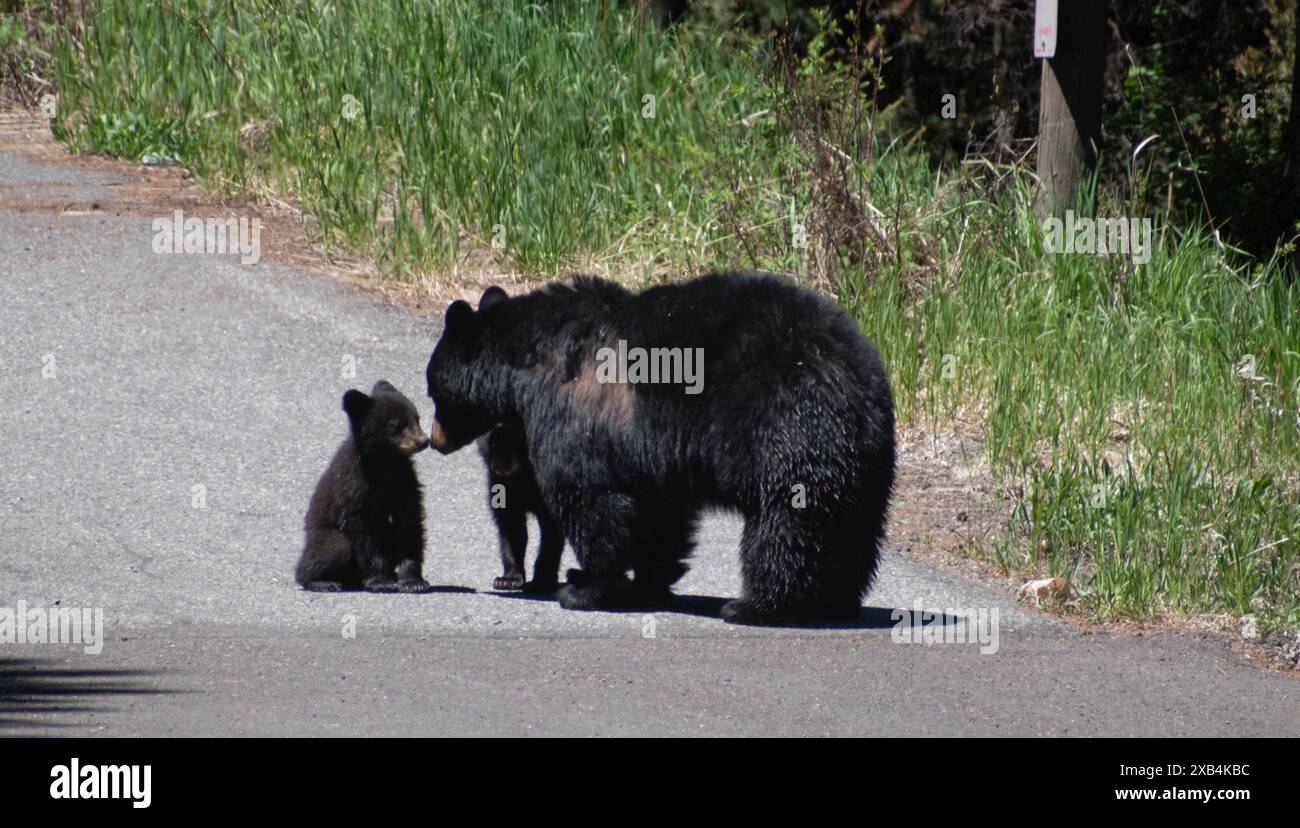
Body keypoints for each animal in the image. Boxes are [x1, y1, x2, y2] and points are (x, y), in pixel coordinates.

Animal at [295, 380, 434, 593]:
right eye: (396, 425)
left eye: (416, 419)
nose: (424, 441)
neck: (385, 461)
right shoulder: (354, 484)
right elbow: (362, 532)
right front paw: (381, 581)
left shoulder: (404, 479)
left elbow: (409, 522)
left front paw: (414, 581)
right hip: (326, 537)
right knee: (334, 547)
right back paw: (322, 581)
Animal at [478, 426, 565, 592]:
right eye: (493, 442)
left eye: (518, 442)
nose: (501, 465)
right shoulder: (502, 487)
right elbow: (513, 529)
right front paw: (508, 579)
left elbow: (551, 534)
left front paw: (541, 582)